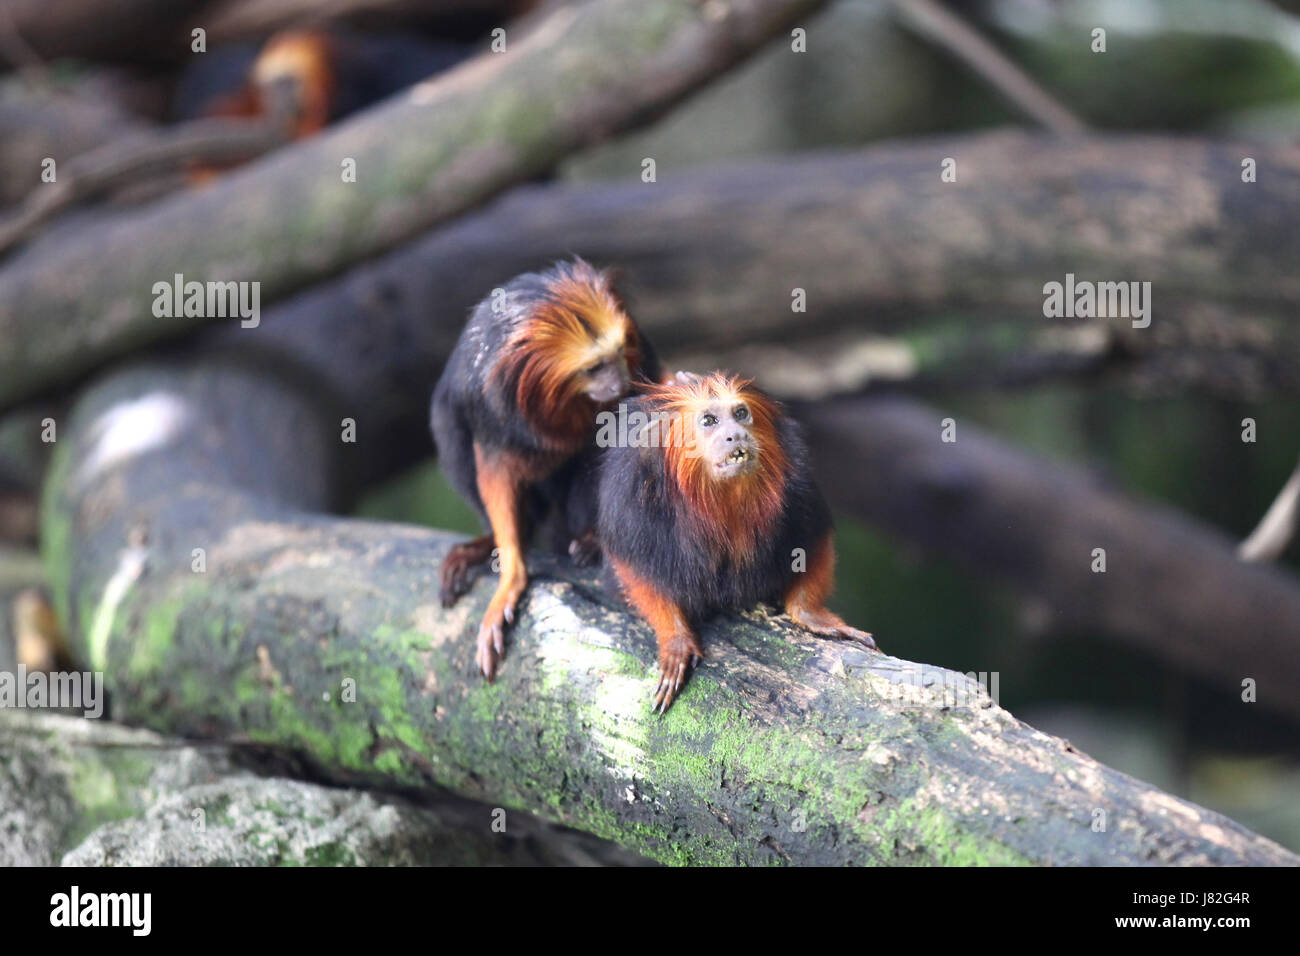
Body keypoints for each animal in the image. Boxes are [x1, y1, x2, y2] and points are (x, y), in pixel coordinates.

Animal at [431, 259, 662, 680]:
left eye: (620, 352)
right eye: (594, 367)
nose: (619, 382)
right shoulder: (493, 405)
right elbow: (495, 475)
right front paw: (510, 576)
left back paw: (592, 539)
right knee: (448, 425)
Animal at [596, 371, 875, 713]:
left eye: (741, 414)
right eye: (709, 420)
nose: (736, 435)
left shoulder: (799, 493)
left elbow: (812, 546)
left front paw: (812, 614)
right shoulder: (632, 497)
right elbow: (636, 569)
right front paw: (676, 641)